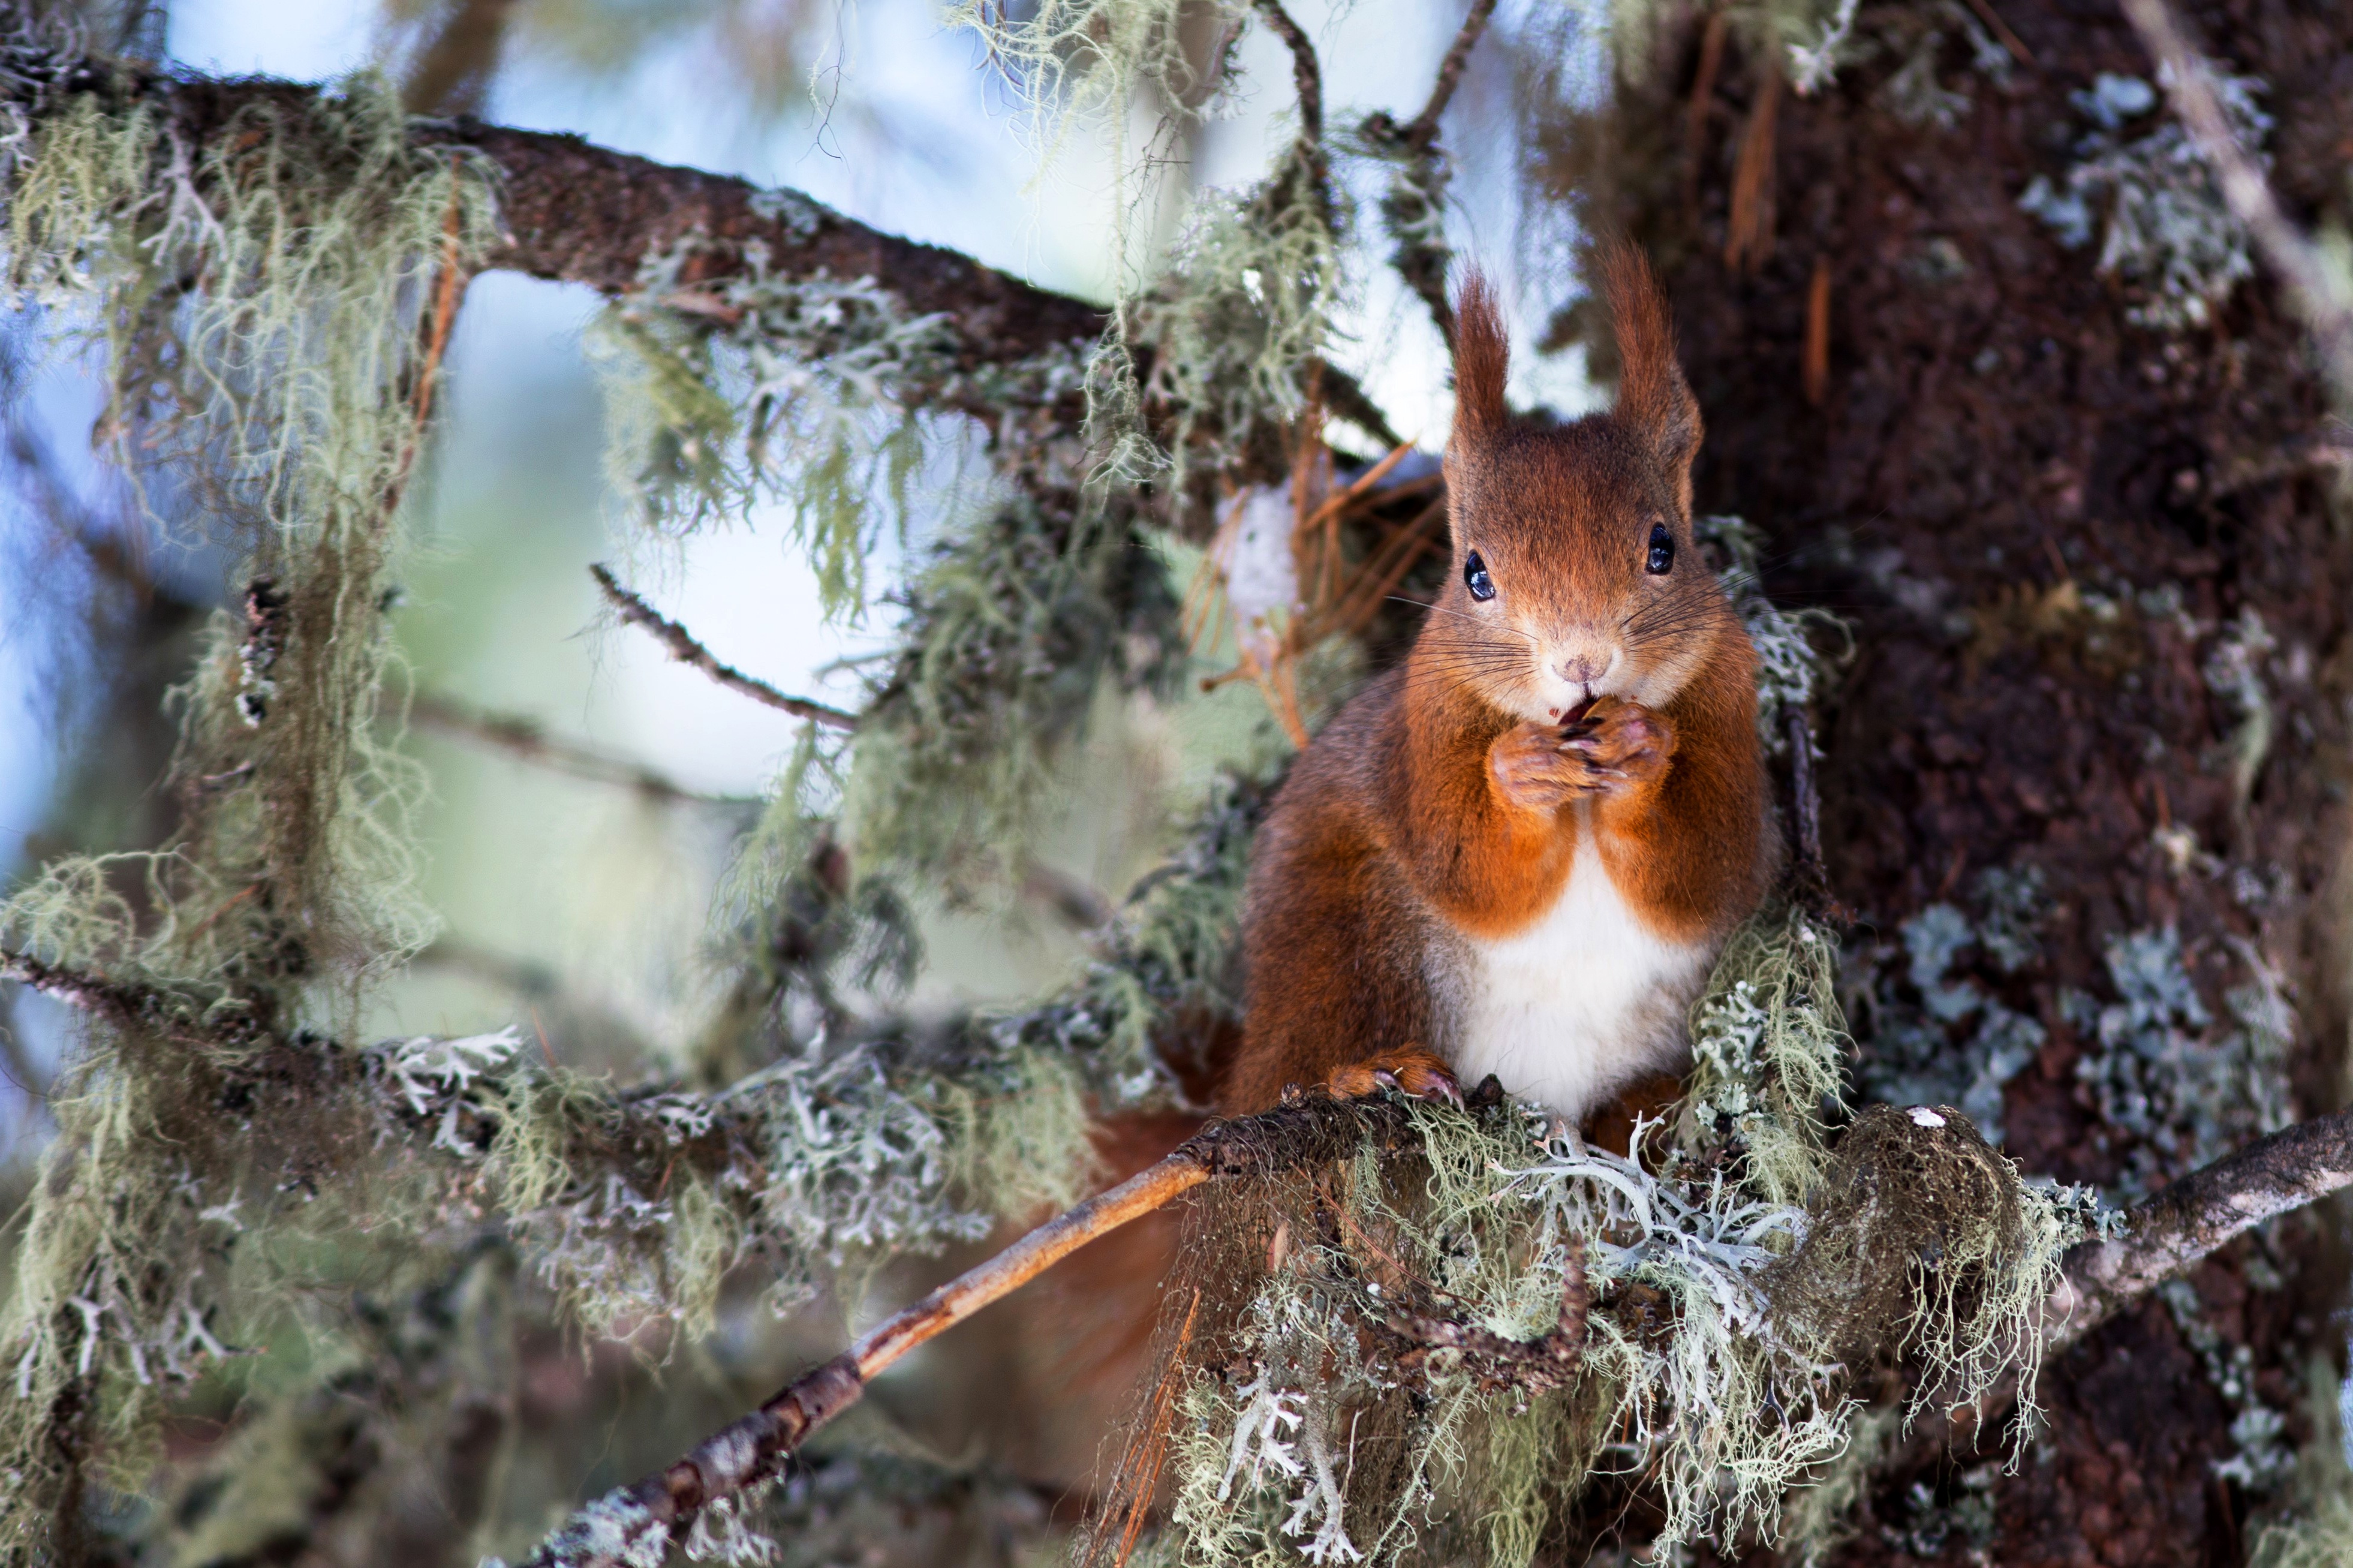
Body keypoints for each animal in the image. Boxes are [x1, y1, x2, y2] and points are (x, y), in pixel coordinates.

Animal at [1220, 245, 1775, 1127]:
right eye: (1476, 574)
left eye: (1664, 548)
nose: (1582, 661)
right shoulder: (1422, 733)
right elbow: (1470, 867)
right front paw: (1519, 773)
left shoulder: (1729, 702)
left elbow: (1706, 867)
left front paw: (1642, 748)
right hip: (1337, 935)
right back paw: (1371, 1070)